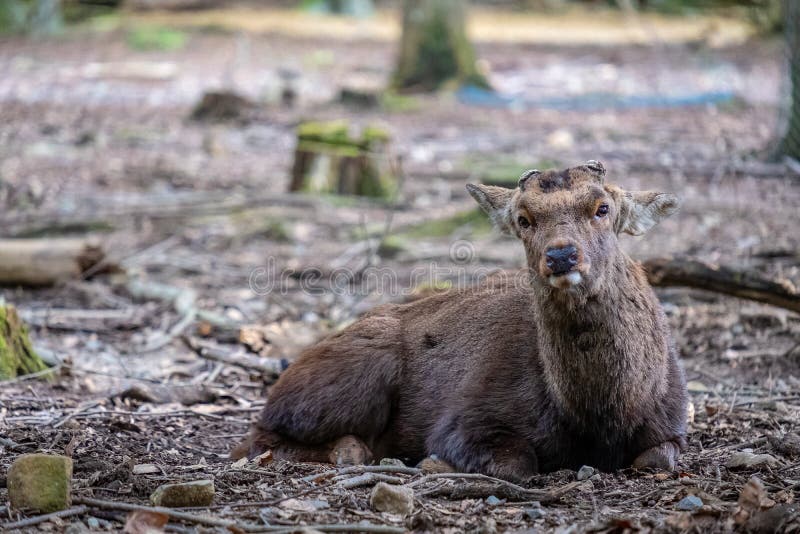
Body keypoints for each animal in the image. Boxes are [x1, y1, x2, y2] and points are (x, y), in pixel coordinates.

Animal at [232, 161, 688, 481]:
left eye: (602, 208)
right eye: (523, 219)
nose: (561, 255)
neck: (600, 416)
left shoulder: (674, 424)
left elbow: (657, 459)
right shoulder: (463, 418)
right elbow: (516, 463)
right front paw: (434, 464)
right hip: (353, 377)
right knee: (256, 439)